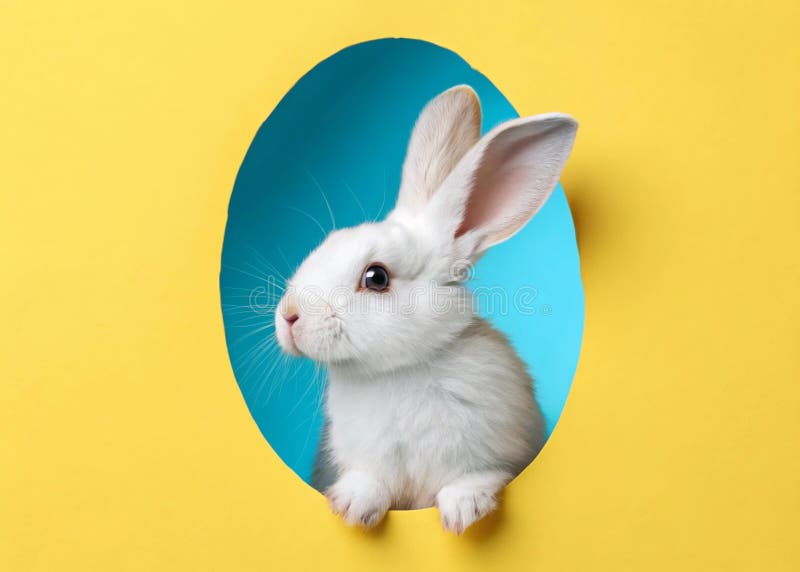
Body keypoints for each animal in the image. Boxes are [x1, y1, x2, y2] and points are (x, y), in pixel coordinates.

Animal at [274, 85, 577, 533]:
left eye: (376, 277)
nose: (289, 316)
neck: (402, 370)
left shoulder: (497, 452)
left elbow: (477, 476)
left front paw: (464, 511)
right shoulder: (366, 460)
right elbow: (370, 481)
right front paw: (352, 506)